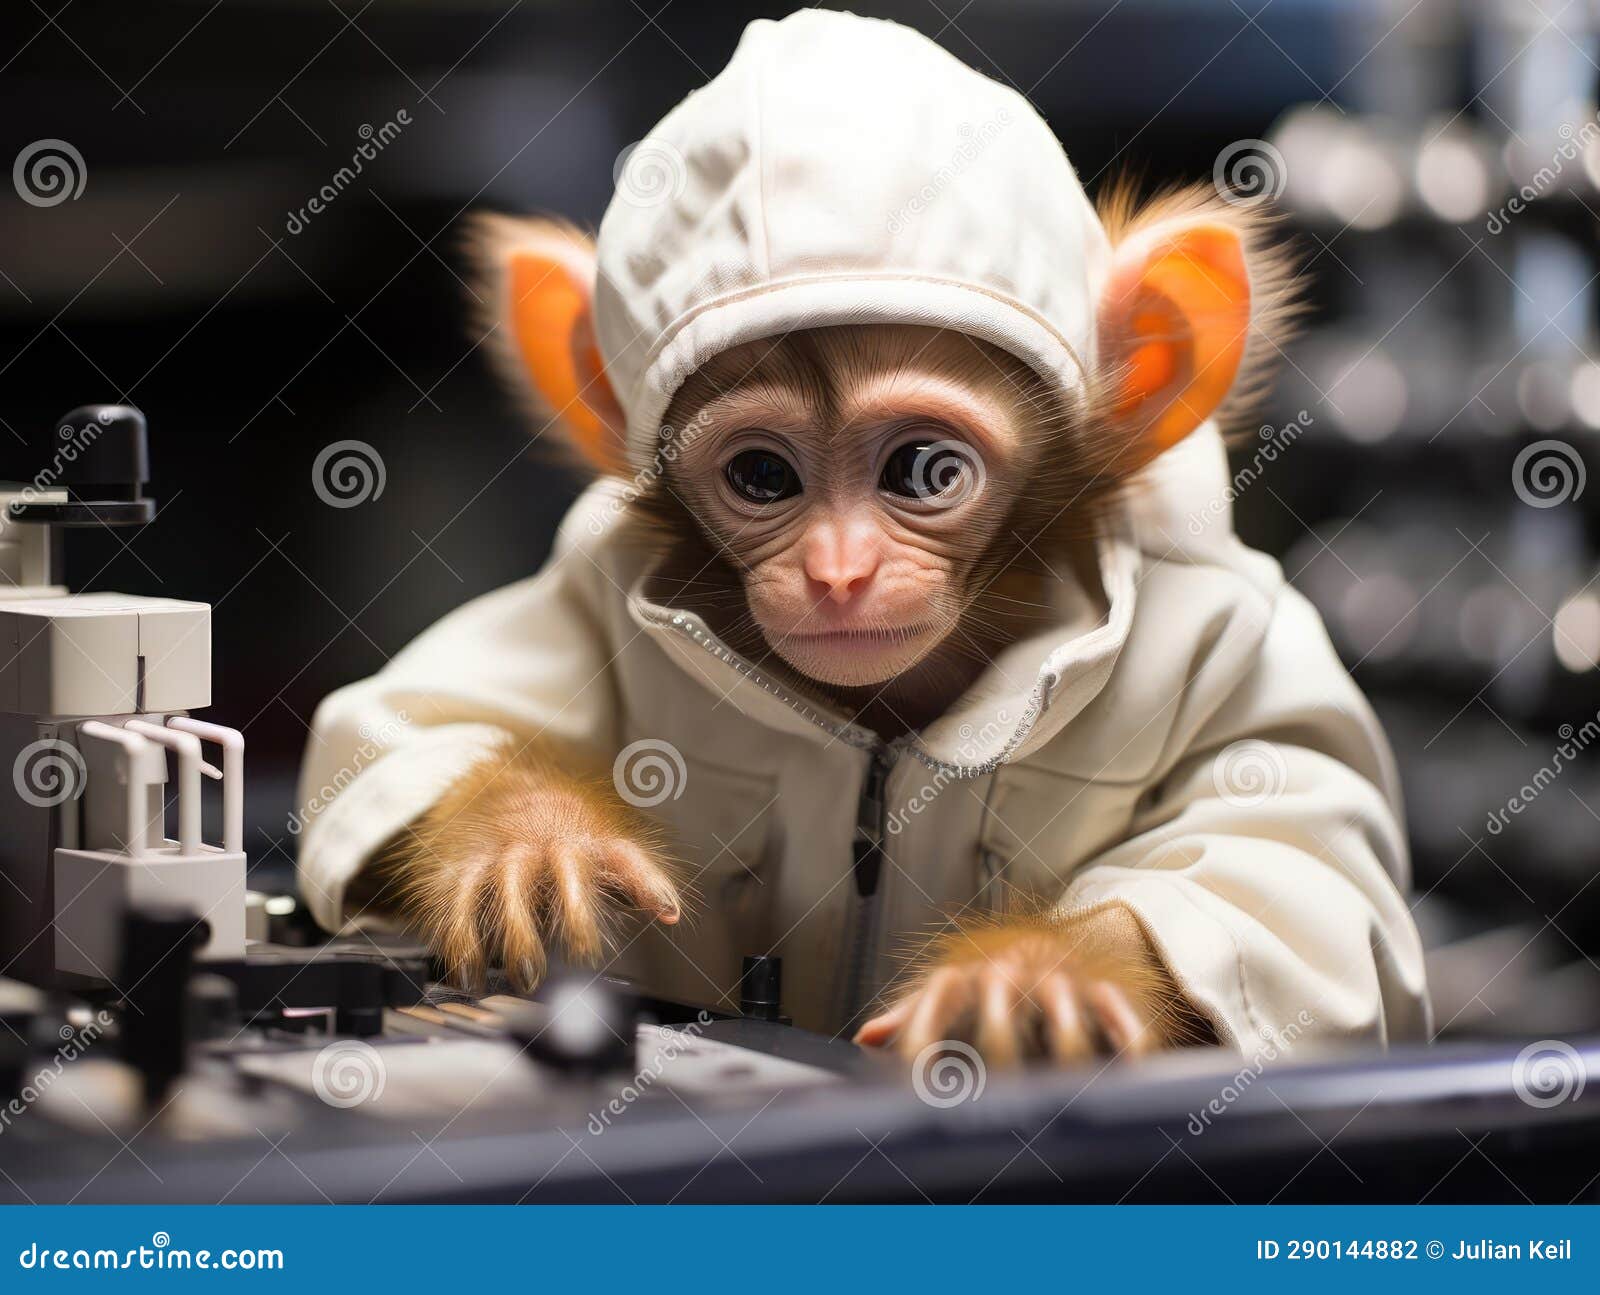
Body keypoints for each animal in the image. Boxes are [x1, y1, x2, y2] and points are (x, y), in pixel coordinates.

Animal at [301, 10, 1430, 1068]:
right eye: (763, 477)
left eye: (925, 470)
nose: (838, 571)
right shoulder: (589, 575)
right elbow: (422, 718)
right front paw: (530, 837)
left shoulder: (1225, 624)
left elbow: (1286, 841)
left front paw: (1036, 974)